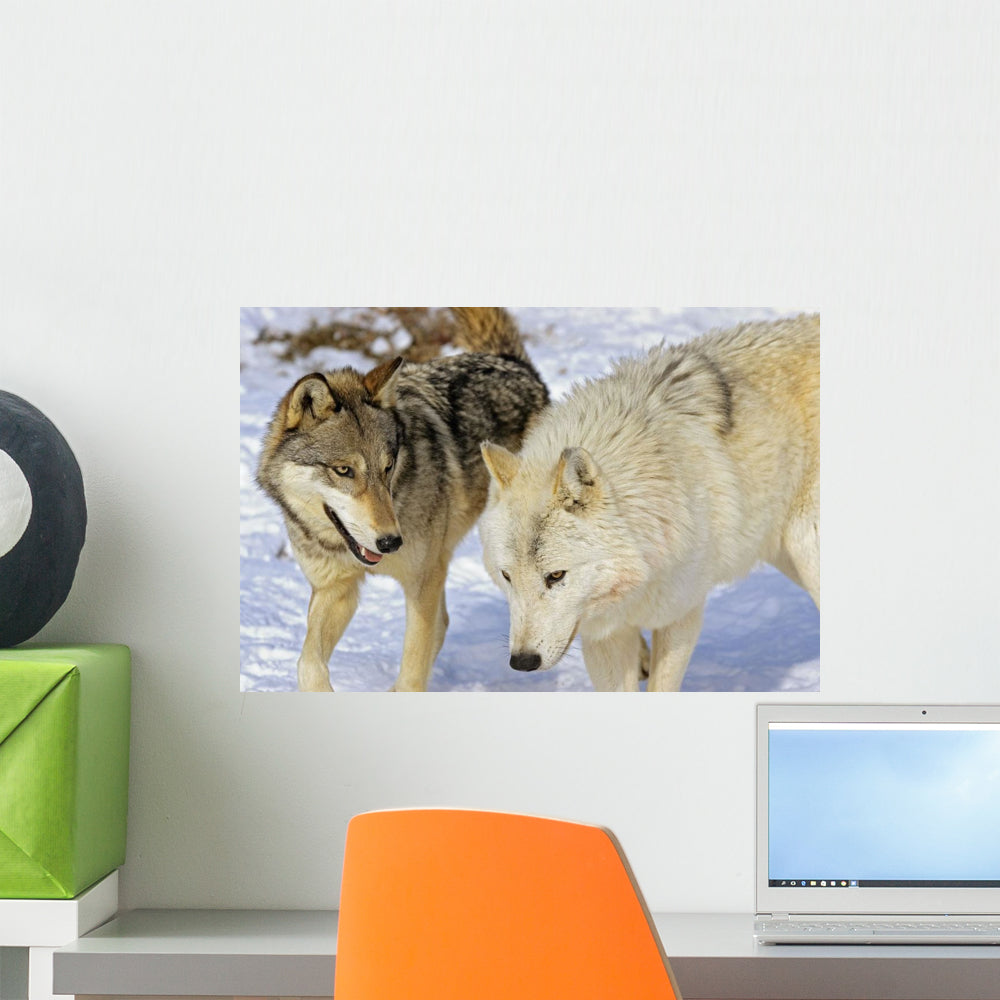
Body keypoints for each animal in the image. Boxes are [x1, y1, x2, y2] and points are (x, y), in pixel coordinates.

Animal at [257, 308, 549, 691]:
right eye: (344, 470)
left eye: (388, 466)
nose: (391, 542)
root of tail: (513, 363)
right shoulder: (336, 589)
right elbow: (308, 663)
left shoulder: (421, 583)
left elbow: (413, 667)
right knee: (443, 622)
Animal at [479, 313, 819, 692]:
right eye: (506, 576)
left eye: (555, 575)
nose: (522, 662)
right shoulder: (605, 635)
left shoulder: (681, 613)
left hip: (807, 552)